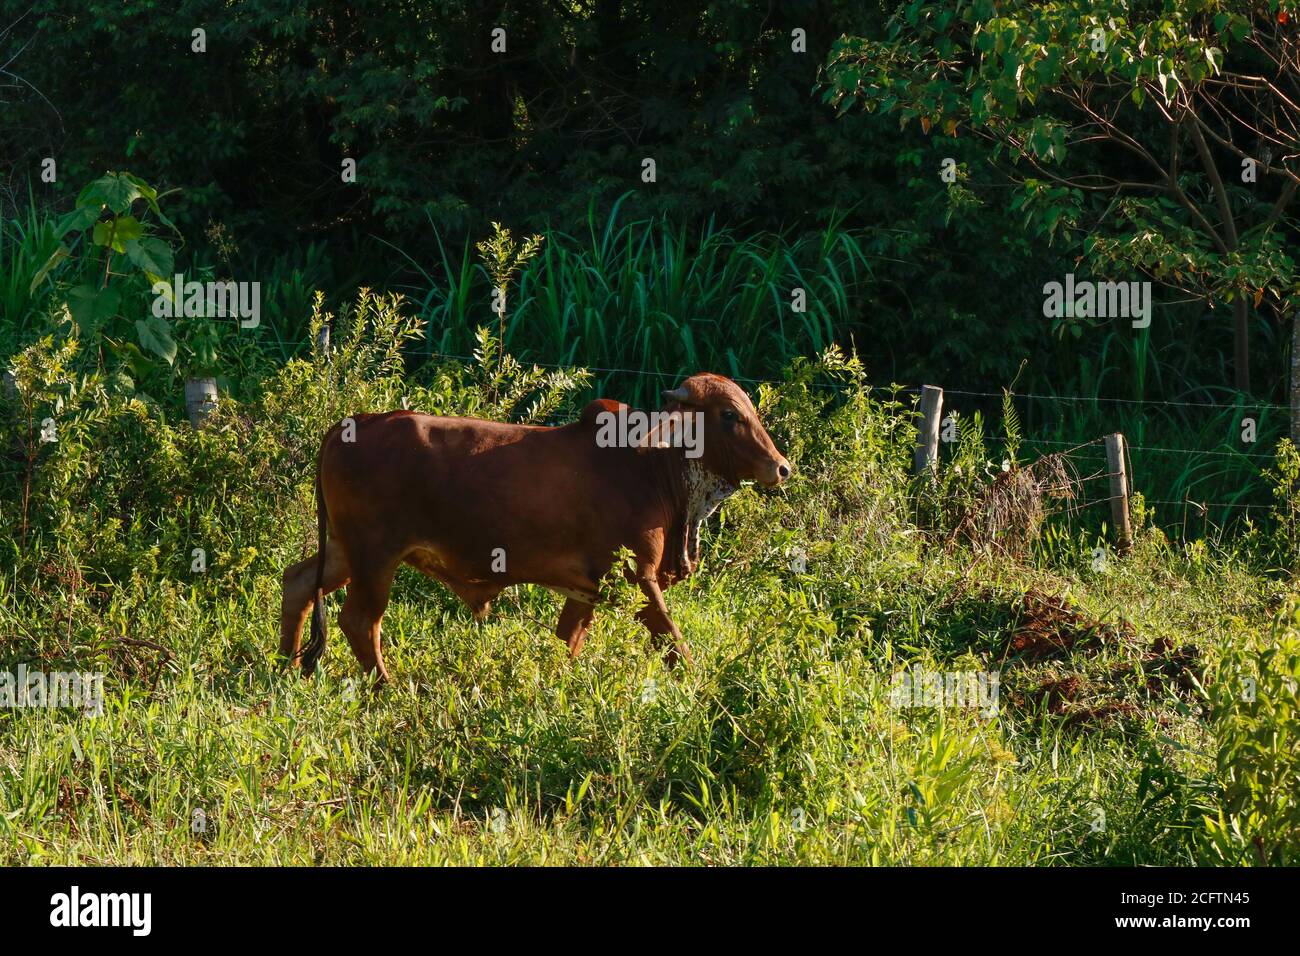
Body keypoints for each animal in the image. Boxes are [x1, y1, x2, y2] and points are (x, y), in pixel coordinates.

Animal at [278, 372, 791, 682]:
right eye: (729, 415)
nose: (781, 468)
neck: (652, 465)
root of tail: (354, 422)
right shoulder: (637, 577)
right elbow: (674, 644)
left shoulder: (587, 587)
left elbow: (569, 642)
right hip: (374, 555)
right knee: (360, 621)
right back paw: (385, 686)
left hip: (344, 549)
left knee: (298, 582)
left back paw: (286, 666)